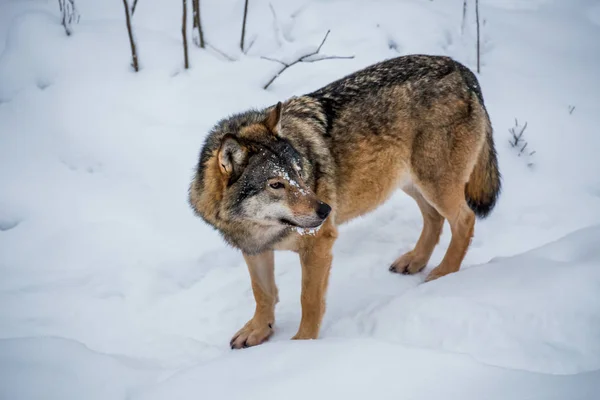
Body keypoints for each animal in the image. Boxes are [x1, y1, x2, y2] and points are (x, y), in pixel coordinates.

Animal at [189, 54, 502, 348]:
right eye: (276, 184)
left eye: (300, 173)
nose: (326, 210)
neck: (260, 228)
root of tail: (462, 69)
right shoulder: (254, 249)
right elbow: (262, 293)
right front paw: (257, 330)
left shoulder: (317, 245)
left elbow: (308, 301)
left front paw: (300, 346)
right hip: (408, 182)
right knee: (434, 219)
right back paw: (414, 261)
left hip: (434, 184)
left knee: (464, 220)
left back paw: (443, 274)